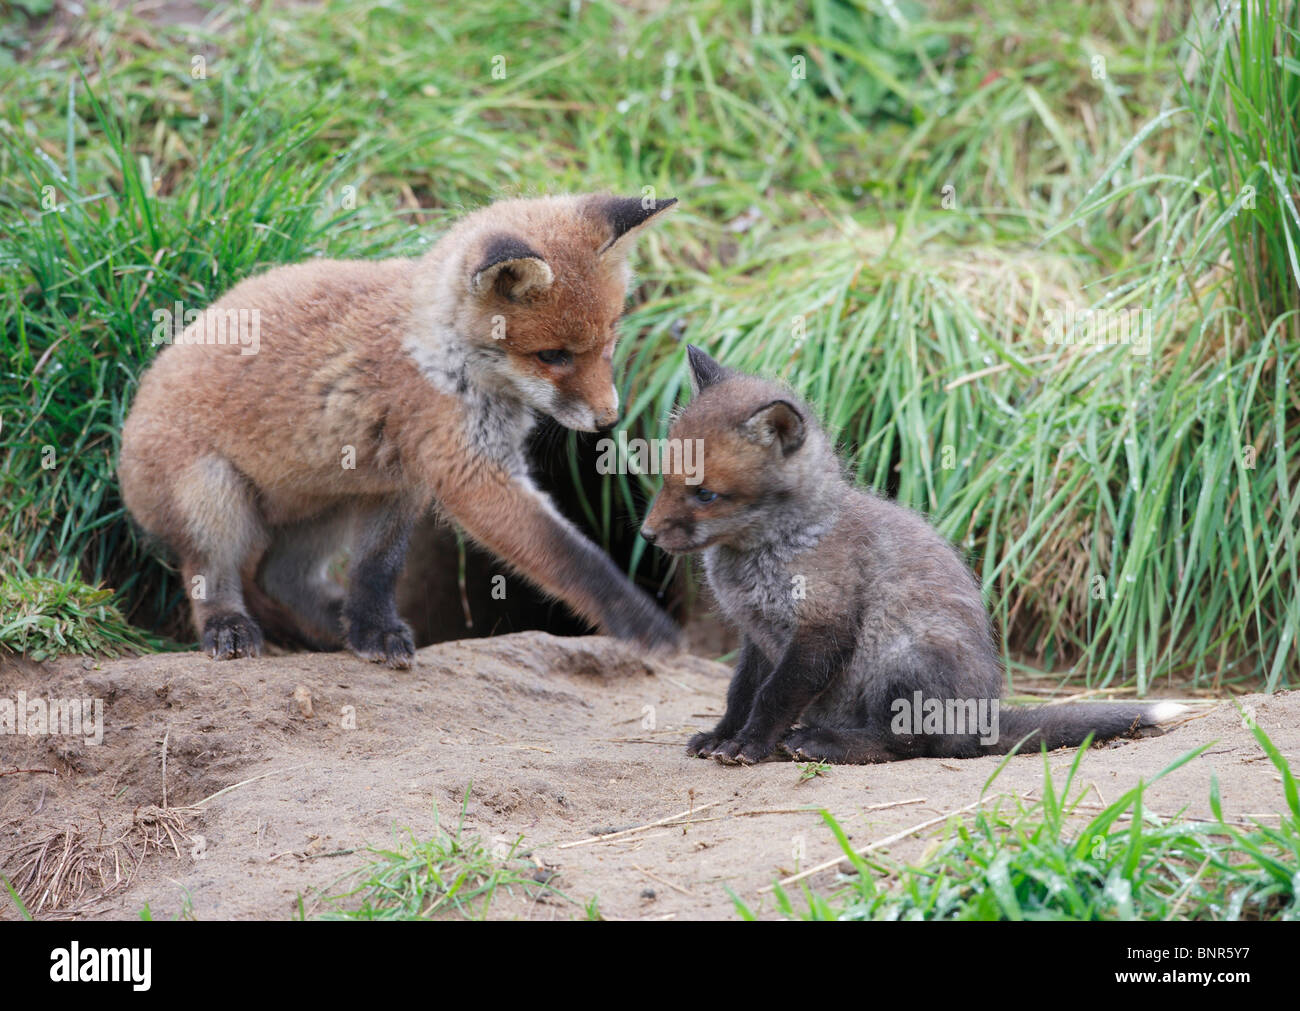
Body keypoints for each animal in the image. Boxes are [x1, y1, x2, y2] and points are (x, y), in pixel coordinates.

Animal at [118, 193, 682, 668]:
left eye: (610, 338)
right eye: (553, 356)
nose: (609, 419)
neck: (443, 355)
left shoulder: (400, 481)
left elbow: (377, 568)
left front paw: (372, 629)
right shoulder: (466, 471)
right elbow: (573, 558)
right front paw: (638, 620)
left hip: (333, 500)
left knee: (279, 577)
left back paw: (335, 621)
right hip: (212, 493)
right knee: (209, 573)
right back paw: (227, 625)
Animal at [640, 346, 1185, 765]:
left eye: (705, 494)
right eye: (666, 478)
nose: (646, 534)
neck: (777, 545)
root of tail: (983, 719)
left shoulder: (822, 626)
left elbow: (774, 695)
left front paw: (749, 744)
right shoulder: (756, 635)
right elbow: (741, 692)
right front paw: (722, 735)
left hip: (904, 657)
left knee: (908, 744)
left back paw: (823, 742)